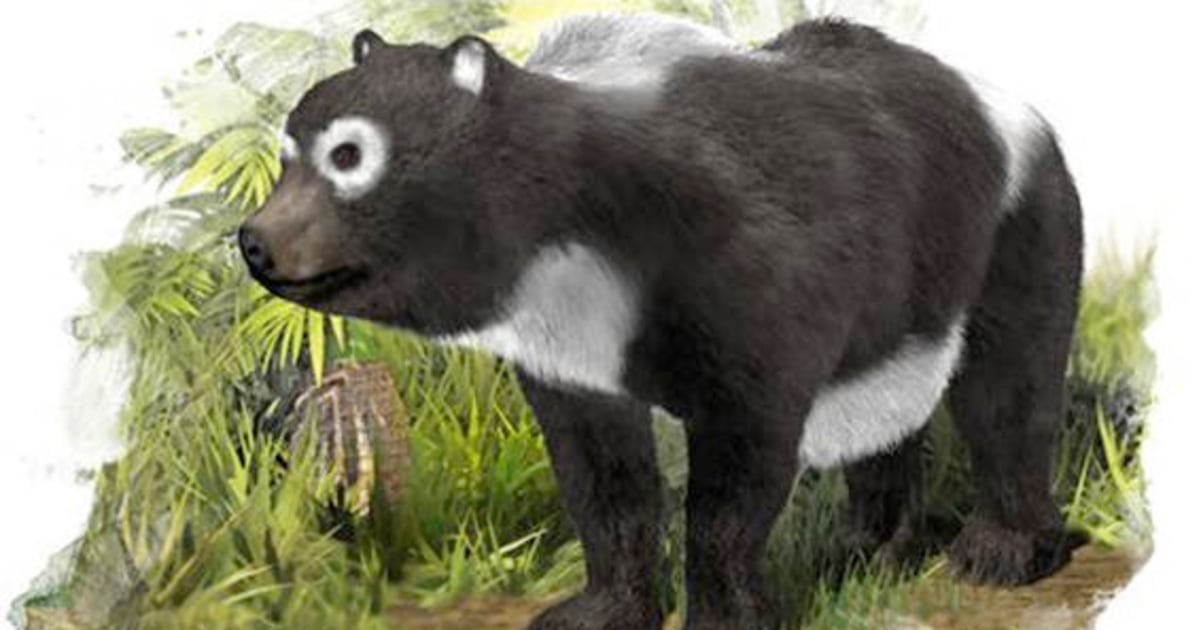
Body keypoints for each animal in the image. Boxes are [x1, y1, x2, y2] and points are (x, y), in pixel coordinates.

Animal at [239, 12, 1083, 629]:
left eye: (350, 156)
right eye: (287, 153)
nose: (254, 241)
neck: (576, 219)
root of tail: (1011, 105)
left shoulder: (740, 268)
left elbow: (743, 446)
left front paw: (728, 612)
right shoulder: (571, 331)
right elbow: (599, 467)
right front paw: (596, 609)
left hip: (1011, 223)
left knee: (1007, 388)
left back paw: (1000, 551)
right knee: (885, 410)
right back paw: (868, 549)